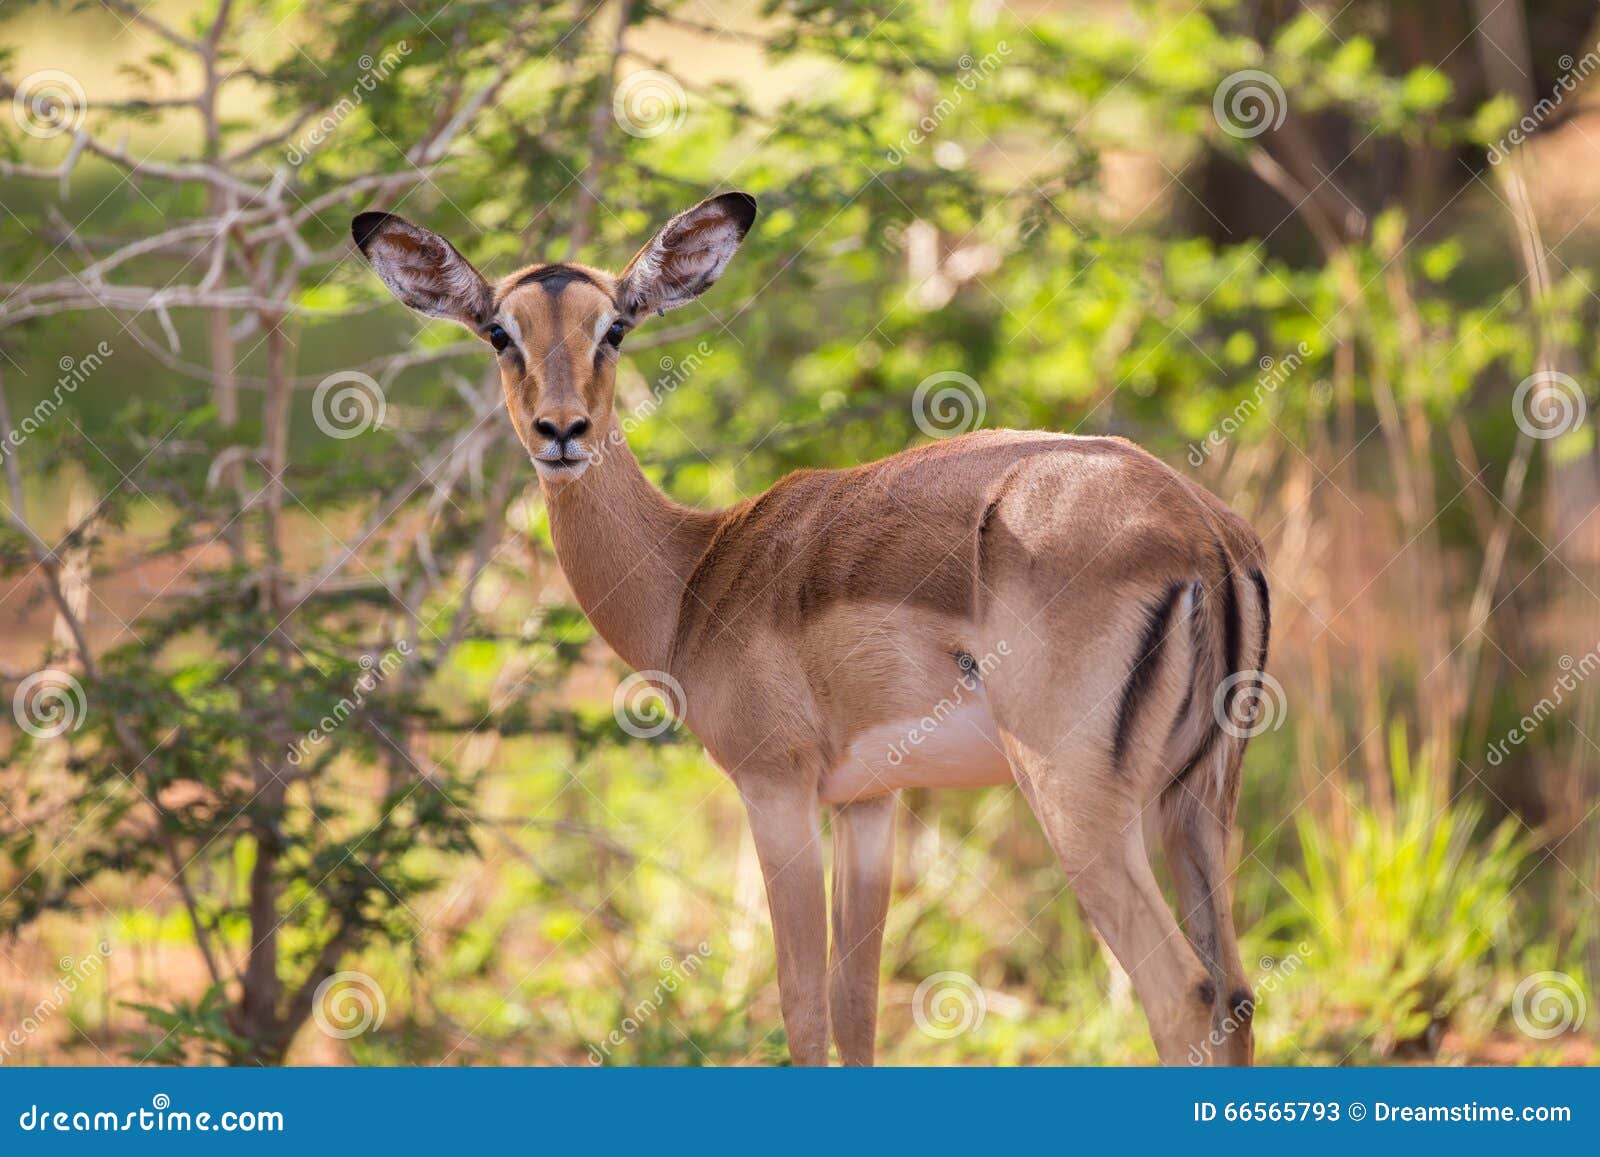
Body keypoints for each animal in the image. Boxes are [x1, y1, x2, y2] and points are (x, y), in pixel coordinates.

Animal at [352, 191, 1270, 1066]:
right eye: (499, 332)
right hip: (1197, 804)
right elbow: (857, 1008)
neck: (694, 571)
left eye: (613, 327)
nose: (562, 430)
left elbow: (800, 1006)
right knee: (1235, 993)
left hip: (1080, 803)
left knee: (1181, 993)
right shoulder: (868, 804)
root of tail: (1203, 533)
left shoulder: (775, 788)